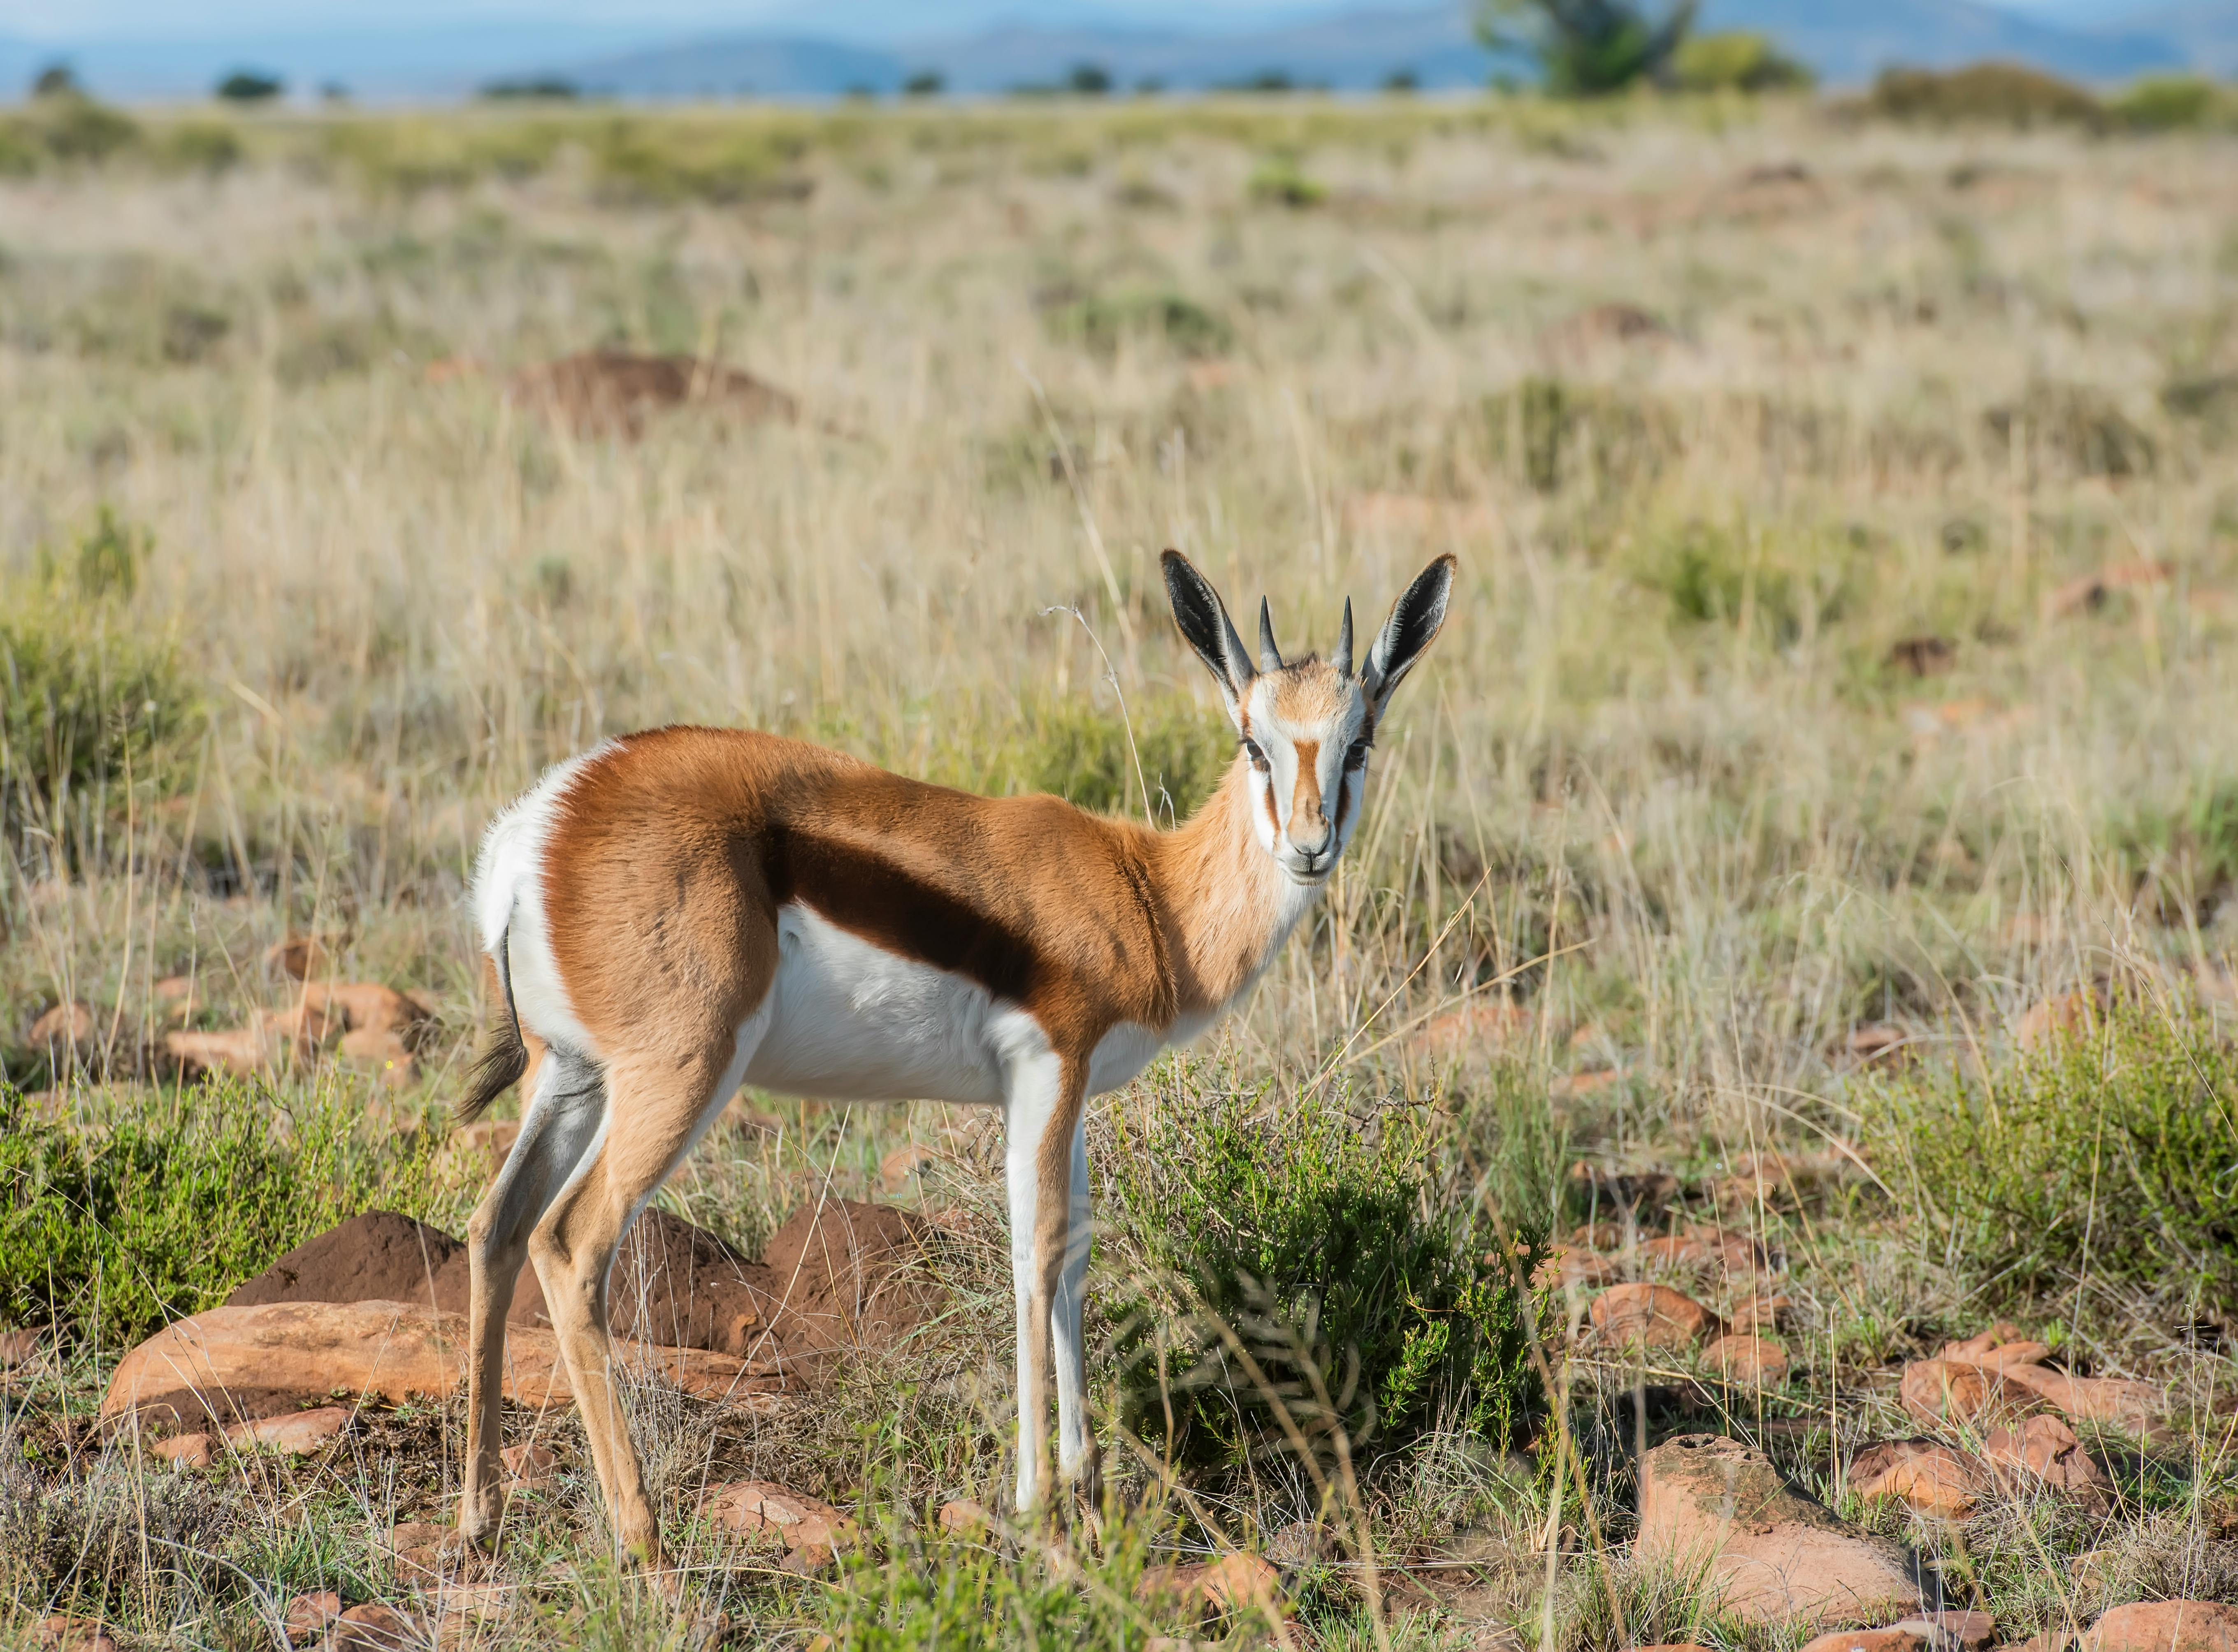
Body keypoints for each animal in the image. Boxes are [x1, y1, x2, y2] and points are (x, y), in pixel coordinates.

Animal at [451, 548, 1456, 1569]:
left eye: (1359, 742)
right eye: (1254, 743)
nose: (1309, 847)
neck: (1149, 895)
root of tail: (541, 829)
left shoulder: (1063, 1094)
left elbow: (1074, 1255)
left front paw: (1086, 1492)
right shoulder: (1046, 1070)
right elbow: (1036, 1256)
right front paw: (1037, 1504)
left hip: (571, 1075)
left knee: (497, 1226)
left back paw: (480, 1516)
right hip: (681, 1074)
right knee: (570, 1242)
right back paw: (643, 1538)